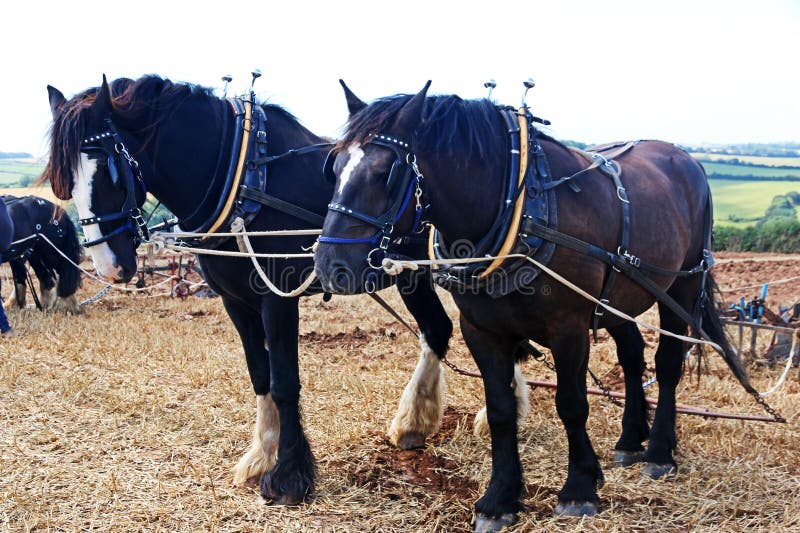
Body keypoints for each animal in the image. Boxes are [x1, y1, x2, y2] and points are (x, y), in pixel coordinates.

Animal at [41, 75, 459, 504]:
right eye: (63, 181)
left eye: (108, 169)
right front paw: (261, 455)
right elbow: (259, 373)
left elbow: (284, 380)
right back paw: (414, 422)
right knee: (436, 330)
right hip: (411, 276)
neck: (243, 180)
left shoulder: (277, 297)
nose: (109, 266)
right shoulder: (235, 301)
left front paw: (290, 476)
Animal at [314, 82, 756, 531]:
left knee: (667, 363)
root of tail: (686, 158)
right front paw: (499, 498)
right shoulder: (482, 329)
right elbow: (500, 410)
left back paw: (659, 451)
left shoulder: (569, 329)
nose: (331, 266)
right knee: (633, 356)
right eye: (334, 167)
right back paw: (631, 439)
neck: (519, 206)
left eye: (385, 171)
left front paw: (579, 489)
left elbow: (572, 404)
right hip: (619, 297)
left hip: (683, 284)